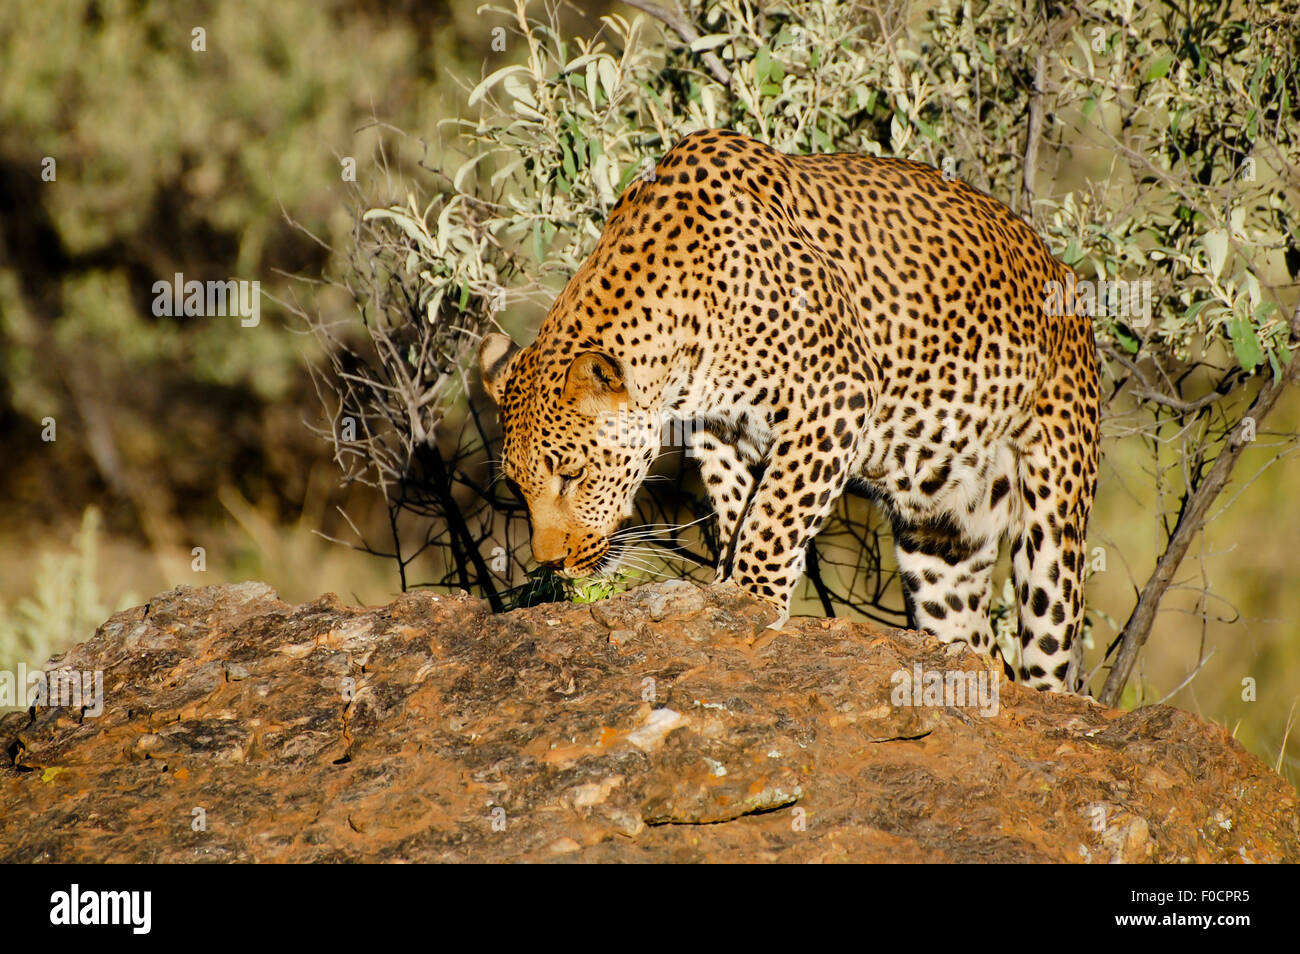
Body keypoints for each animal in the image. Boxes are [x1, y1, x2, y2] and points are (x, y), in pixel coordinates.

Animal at [479, 128, 1100, 693]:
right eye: (516, 488)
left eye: (572, 475)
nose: (550, 564)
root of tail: (1059, 266)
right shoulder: (719, 431)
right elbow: (737, 510)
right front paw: (730, 591)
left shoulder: (836, 397)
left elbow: (774, 516)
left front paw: (753, 599)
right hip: (942, 542)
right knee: (979, 644)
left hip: (1053, 515)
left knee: (1048, 651)